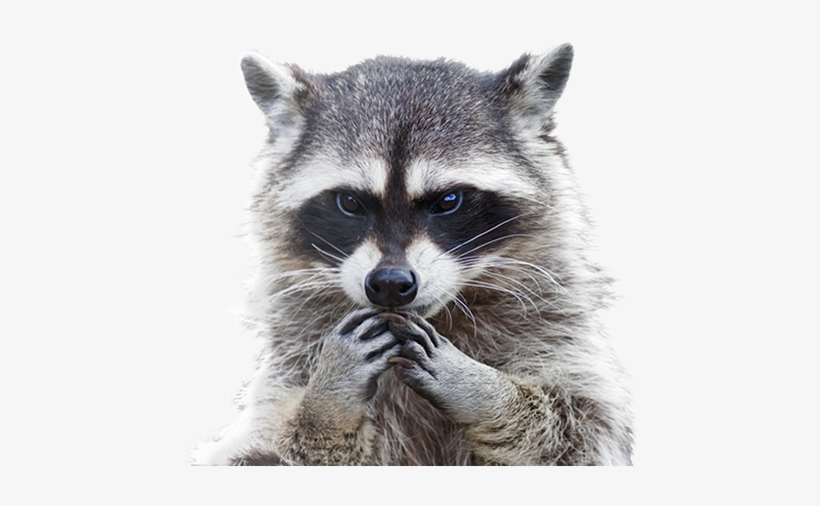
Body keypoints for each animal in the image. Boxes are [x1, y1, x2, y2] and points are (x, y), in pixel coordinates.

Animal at [191, 44, 633, 465]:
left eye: (448, 201)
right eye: (349, 202)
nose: (390, 283)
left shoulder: (556, 327)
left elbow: (579, 431)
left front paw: (486, 391)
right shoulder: (291, 359)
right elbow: (265, 452)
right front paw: (326, 403)